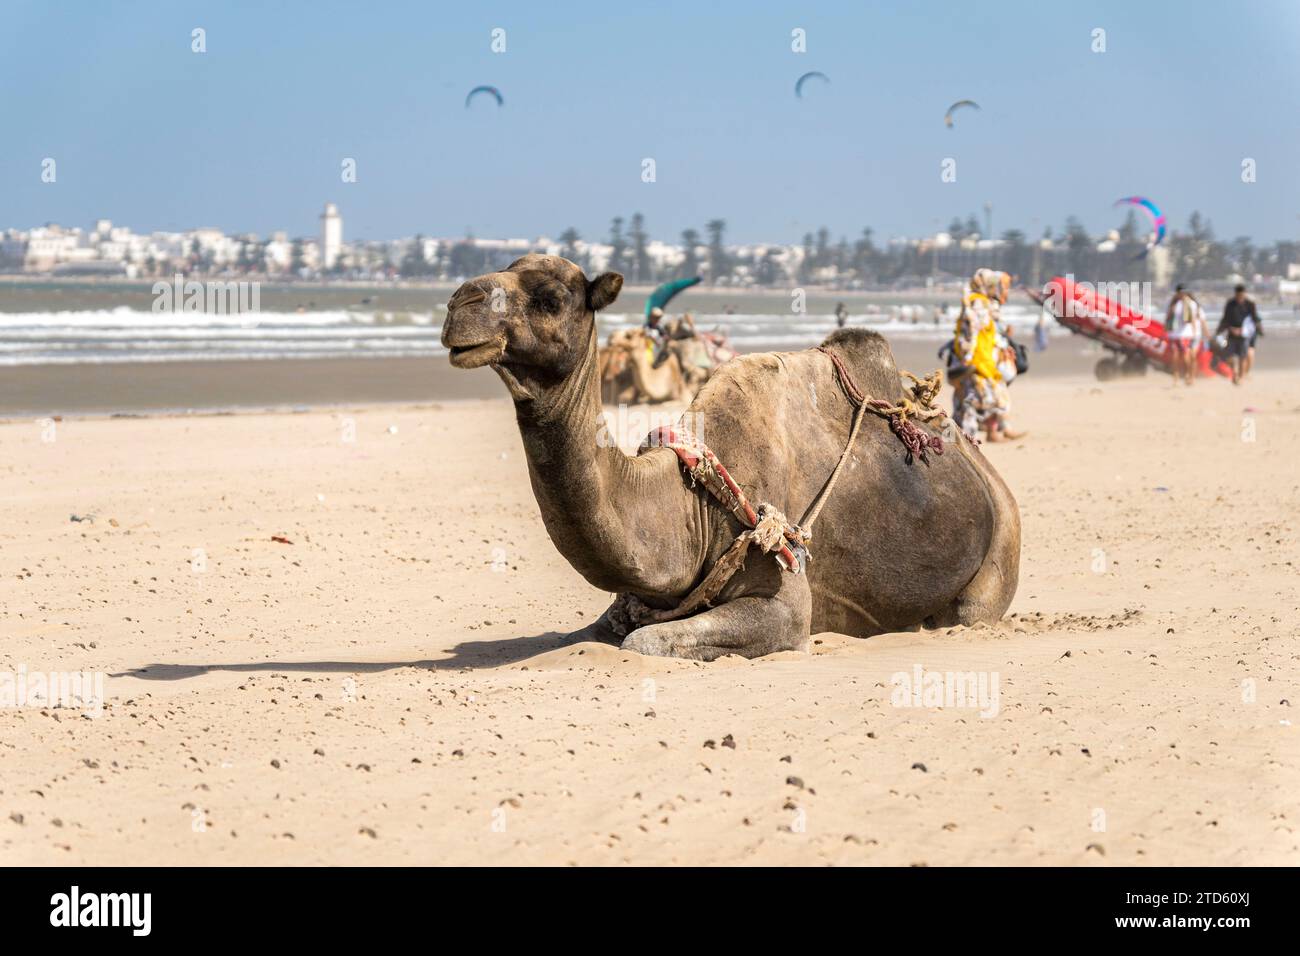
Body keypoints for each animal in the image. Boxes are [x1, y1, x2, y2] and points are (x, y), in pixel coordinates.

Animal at [443, 255, 1020, 660]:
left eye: (549, 298)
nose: (458, 303)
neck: (694, 502)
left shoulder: (787, 605)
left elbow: (644, 642)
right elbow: (586, 637)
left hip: (998, 561)